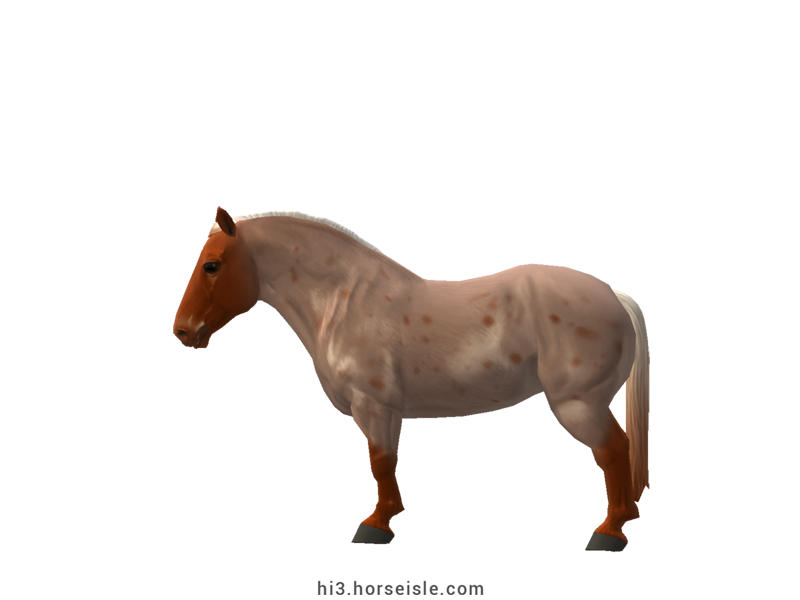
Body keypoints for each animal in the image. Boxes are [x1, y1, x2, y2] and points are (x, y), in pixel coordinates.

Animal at [174, 207, 650, 542]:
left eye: (211, 265)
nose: (183, 330)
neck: (342, 300)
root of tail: (615, 300)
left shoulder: (371, 404)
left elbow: (380, 460)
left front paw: (378, 520)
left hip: (579, 404)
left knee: (613, 451)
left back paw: (610, 526)